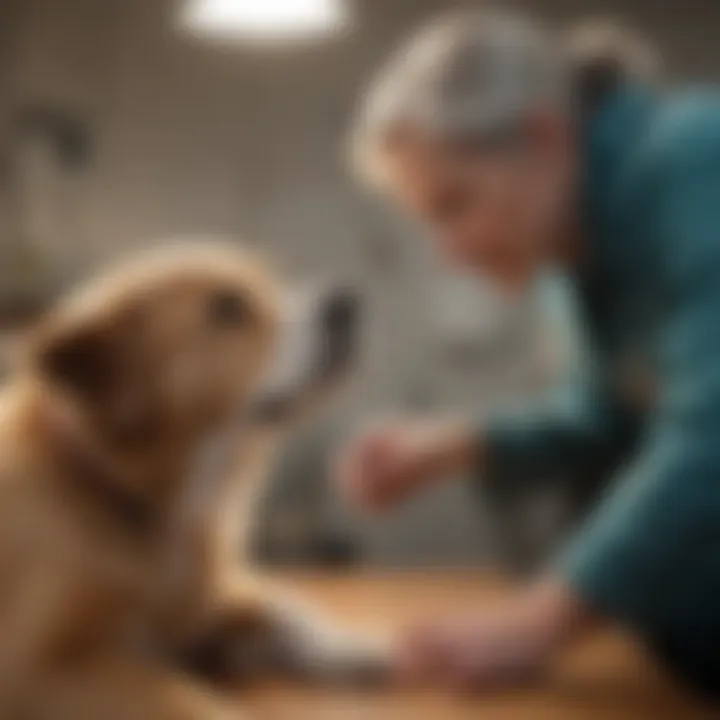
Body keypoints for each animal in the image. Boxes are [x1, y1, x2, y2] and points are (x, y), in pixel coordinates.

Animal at [0, 243, 390, 720]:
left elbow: (281, 609)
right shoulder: (40, 668)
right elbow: (192, 701)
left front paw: (348, 645)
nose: (348, 302)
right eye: (227, 307)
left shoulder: (206, 604)